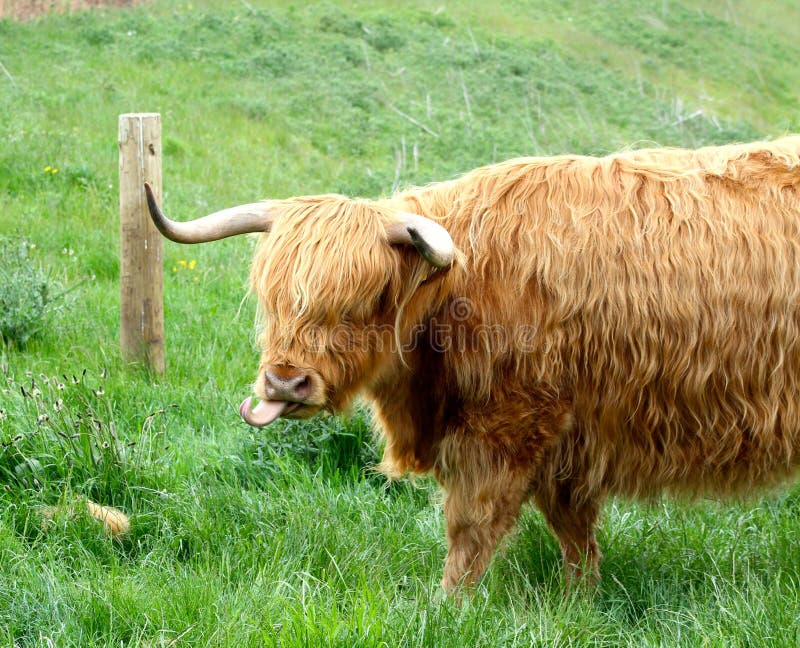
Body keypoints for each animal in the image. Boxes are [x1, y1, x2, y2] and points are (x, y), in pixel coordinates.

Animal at [145, 135, 800, 592]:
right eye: (273, 297)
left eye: (367, 300)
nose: (285, 381)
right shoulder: (567, 446)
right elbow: (575, 534)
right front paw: (580, 599)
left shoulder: (509, 428)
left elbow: (471, 527)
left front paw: (448, 604)